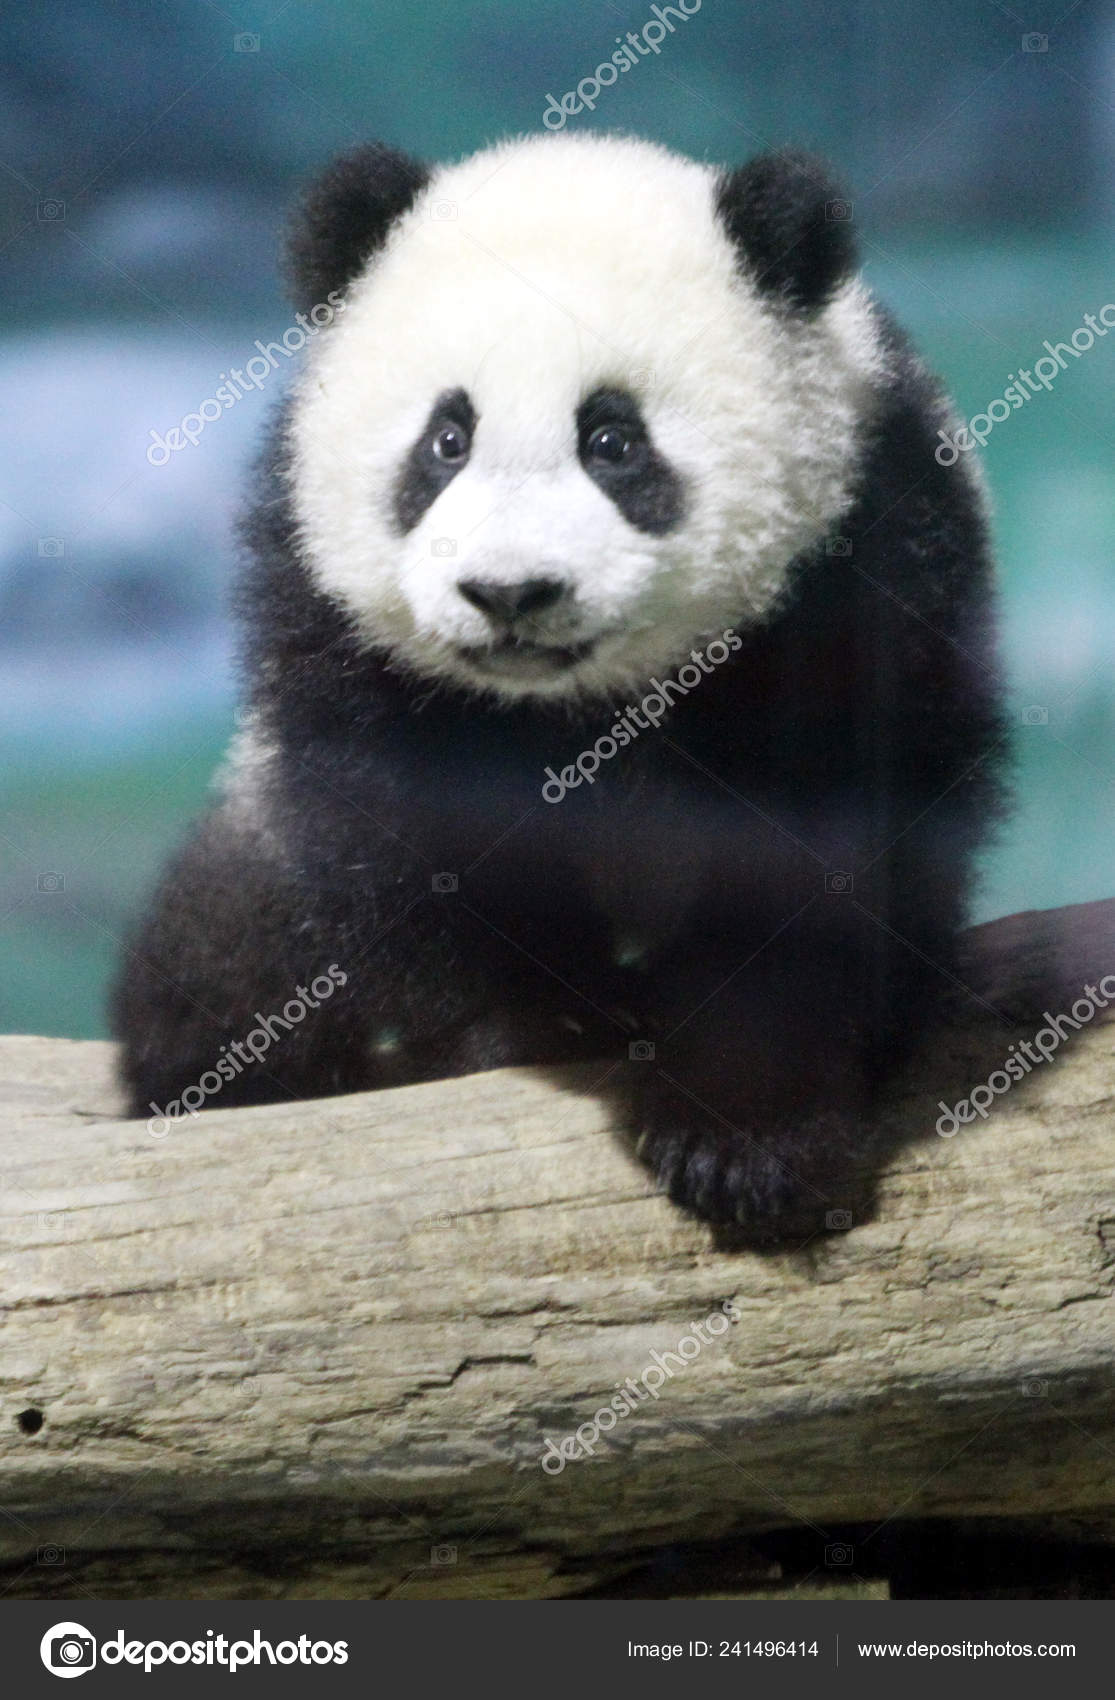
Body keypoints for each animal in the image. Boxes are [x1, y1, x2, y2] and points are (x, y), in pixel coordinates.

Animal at [113, 132, 1007, 1241]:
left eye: (612, 441)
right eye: (446, 439)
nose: (510, 592)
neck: (581, 704)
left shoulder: (870, 555)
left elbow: (834, 853)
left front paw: (743, 1135)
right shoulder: (336, 625)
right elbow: (409, 832)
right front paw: (552, 1017)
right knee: (220, 970)